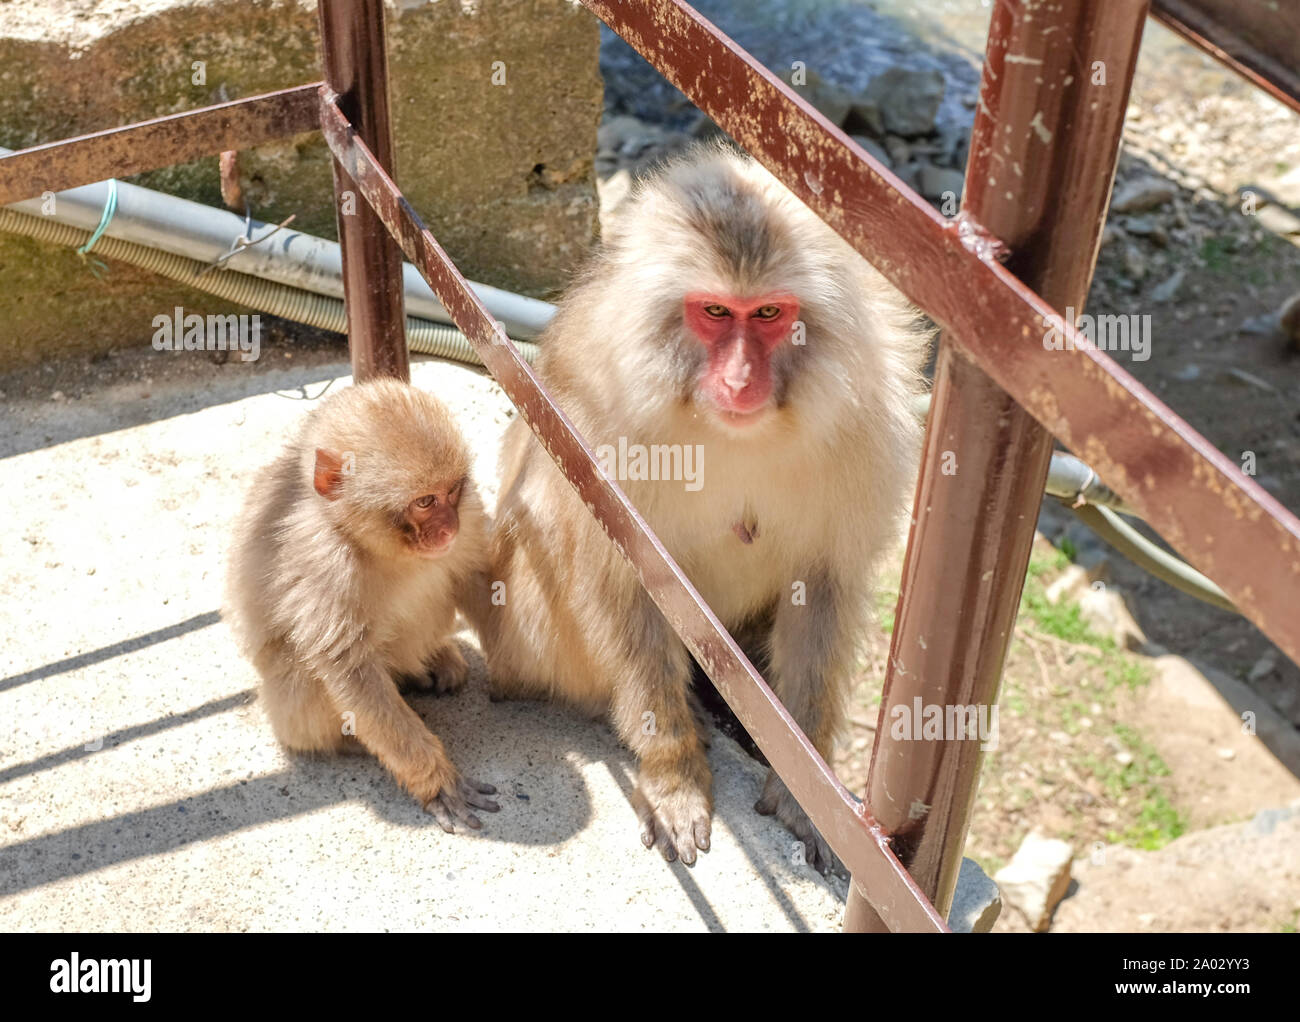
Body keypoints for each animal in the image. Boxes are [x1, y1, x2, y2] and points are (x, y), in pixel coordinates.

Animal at [225, 378, 500, 832]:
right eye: (425, 502)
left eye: (452, 491)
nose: (449, 529)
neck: (379, 548)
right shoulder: (326, 564)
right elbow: (348, 669)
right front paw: (434, 780)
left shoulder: (472, 513)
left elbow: (478, 578)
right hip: (286, 711)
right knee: (302, 671)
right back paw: (347, 742)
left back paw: (434, 660)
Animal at [469, 145, 929, 870]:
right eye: (715, 311)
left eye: (767, 314)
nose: (739, 382)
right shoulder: (601, 427)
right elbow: (623, 580)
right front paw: (673, 772)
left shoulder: (870, 431)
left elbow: (822, 584)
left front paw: (806, 792)